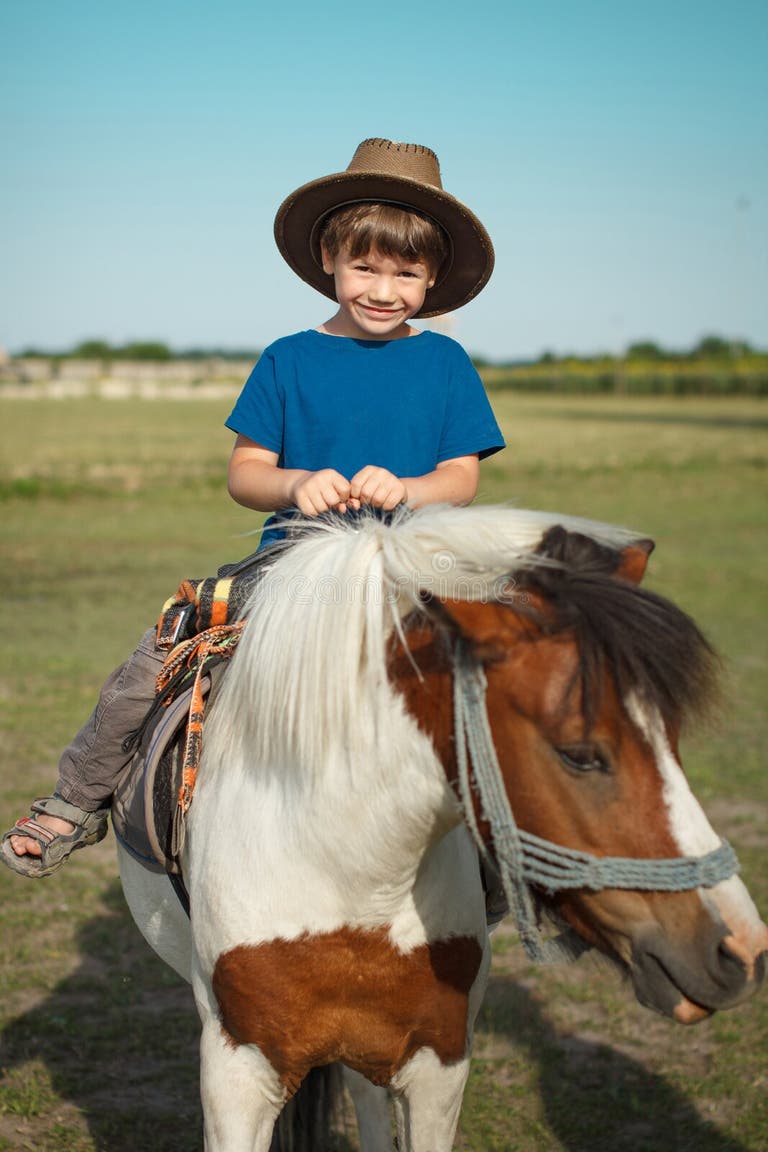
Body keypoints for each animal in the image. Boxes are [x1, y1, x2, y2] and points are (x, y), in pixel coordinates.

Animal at [117, 503, 767, 1151]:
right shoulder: (237, 1074)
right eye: (580, 755)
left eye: (672, 737)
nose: (739, 949)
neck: (348, 872)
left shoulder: (438, 1063)